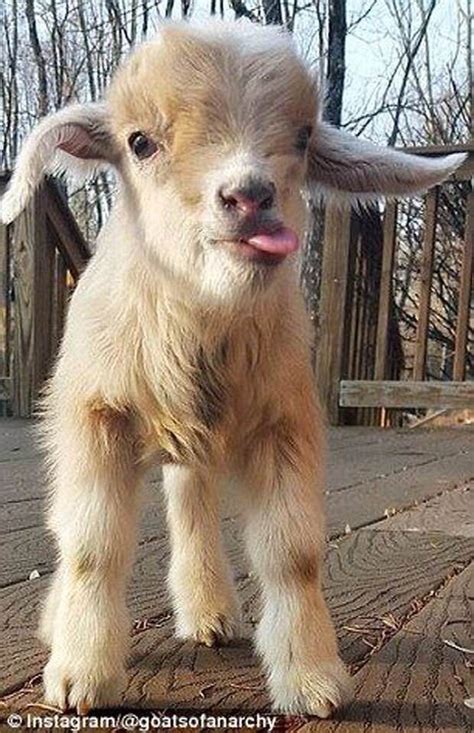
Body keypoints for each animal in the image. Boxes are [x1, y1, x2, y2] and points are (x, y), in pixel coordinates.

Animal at [1, 19, 464, 718]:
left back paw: (211, 614)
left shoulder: (286, 421)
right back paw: (65, 624)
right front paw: (80, 677)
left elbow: (293, 553)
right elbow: (90, 545)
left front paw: (313, 680)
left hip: (196, 445)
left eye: (302, 137)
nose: (250, 196)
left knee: (191, 506)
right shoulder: (93, 415)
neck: (201, 315)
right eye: (139, 142)